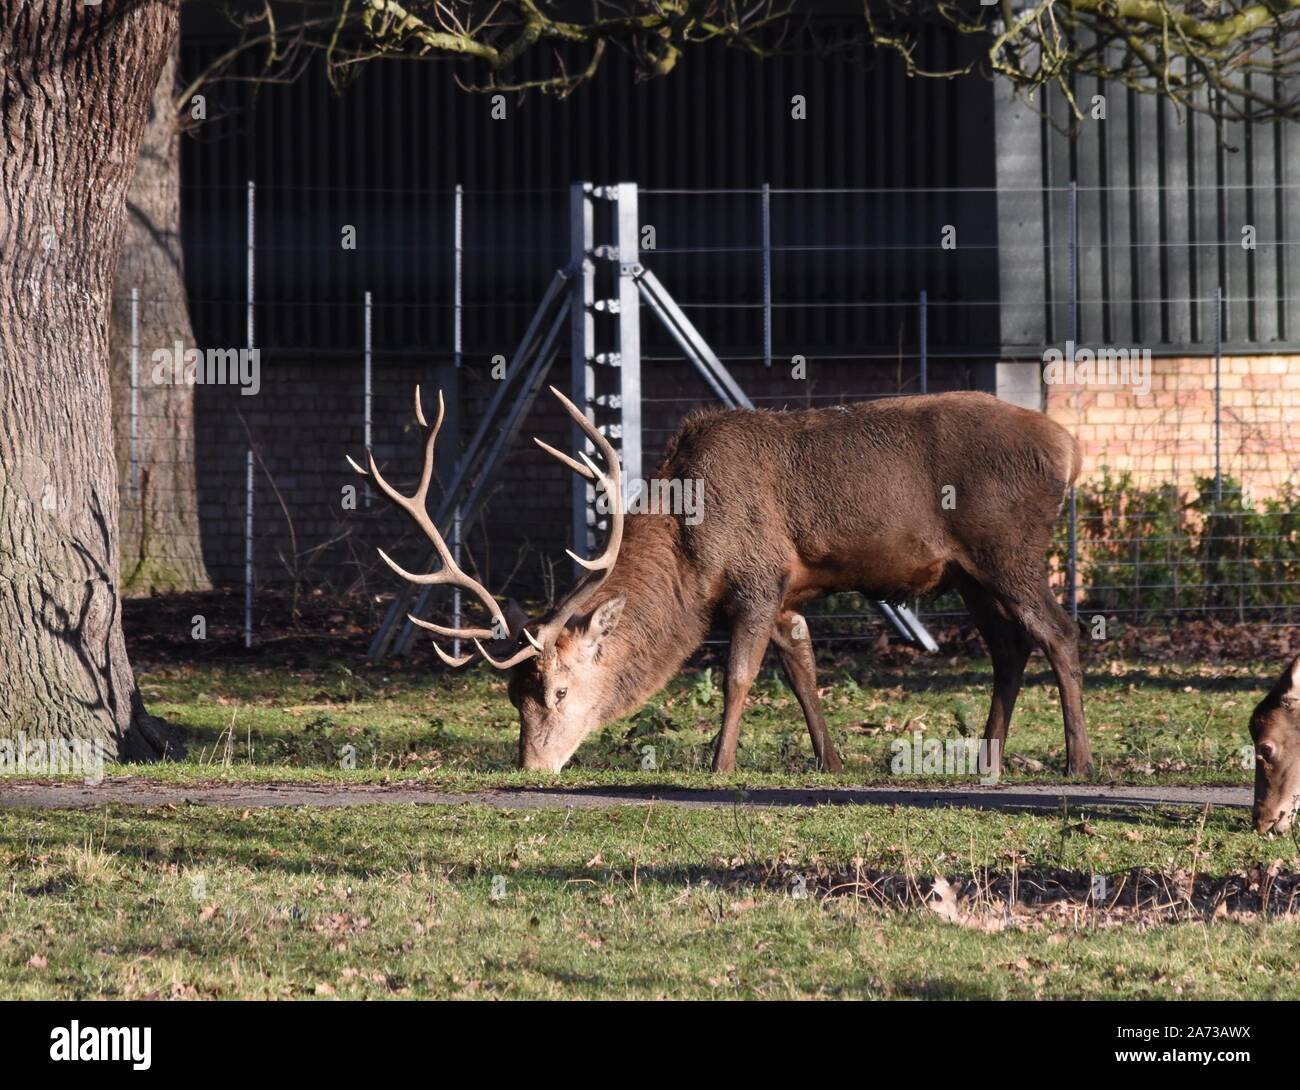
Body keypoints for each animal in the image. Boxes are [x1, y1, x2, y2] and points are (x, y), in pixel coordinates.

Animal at [351, 385, 1094, 777]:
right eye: (513, 696)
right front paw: (831, 760)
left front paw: (719, 762)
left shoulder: (758, 577)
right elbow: (801, 669)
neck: (692, 557)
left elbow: (739, 674)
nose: (531, 766)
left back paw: (1075, 761)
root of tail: (1070, 447)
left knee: (1059, 631)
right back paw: (989, 760)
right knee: (1009, 647)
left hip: (1010, 546)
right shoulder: (789, 594)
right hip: (969, 572)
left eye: (558, 690)